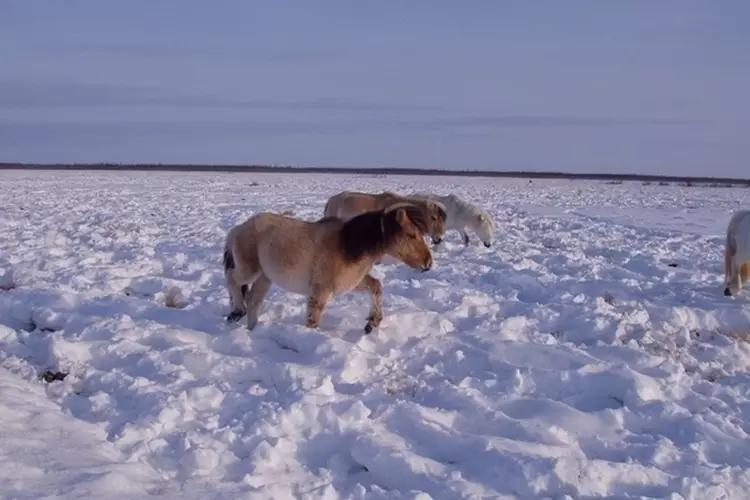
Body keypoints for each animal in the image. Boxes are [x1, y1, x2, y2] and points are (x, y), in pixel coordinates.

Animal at [223, 201, 434, 334]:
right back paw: (237, 310)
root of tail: (238, 229)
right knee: (232, 279)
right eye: (412, 235)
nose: (428, 263)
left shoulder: (351, 283)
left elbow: (376, 286)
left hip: (264, 278)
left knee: (254, 302)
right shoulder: (320, 293)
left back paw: (252, 330)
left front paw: (372, 323)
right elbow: (313, 320)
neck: (347, 245)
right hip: (250, 270)